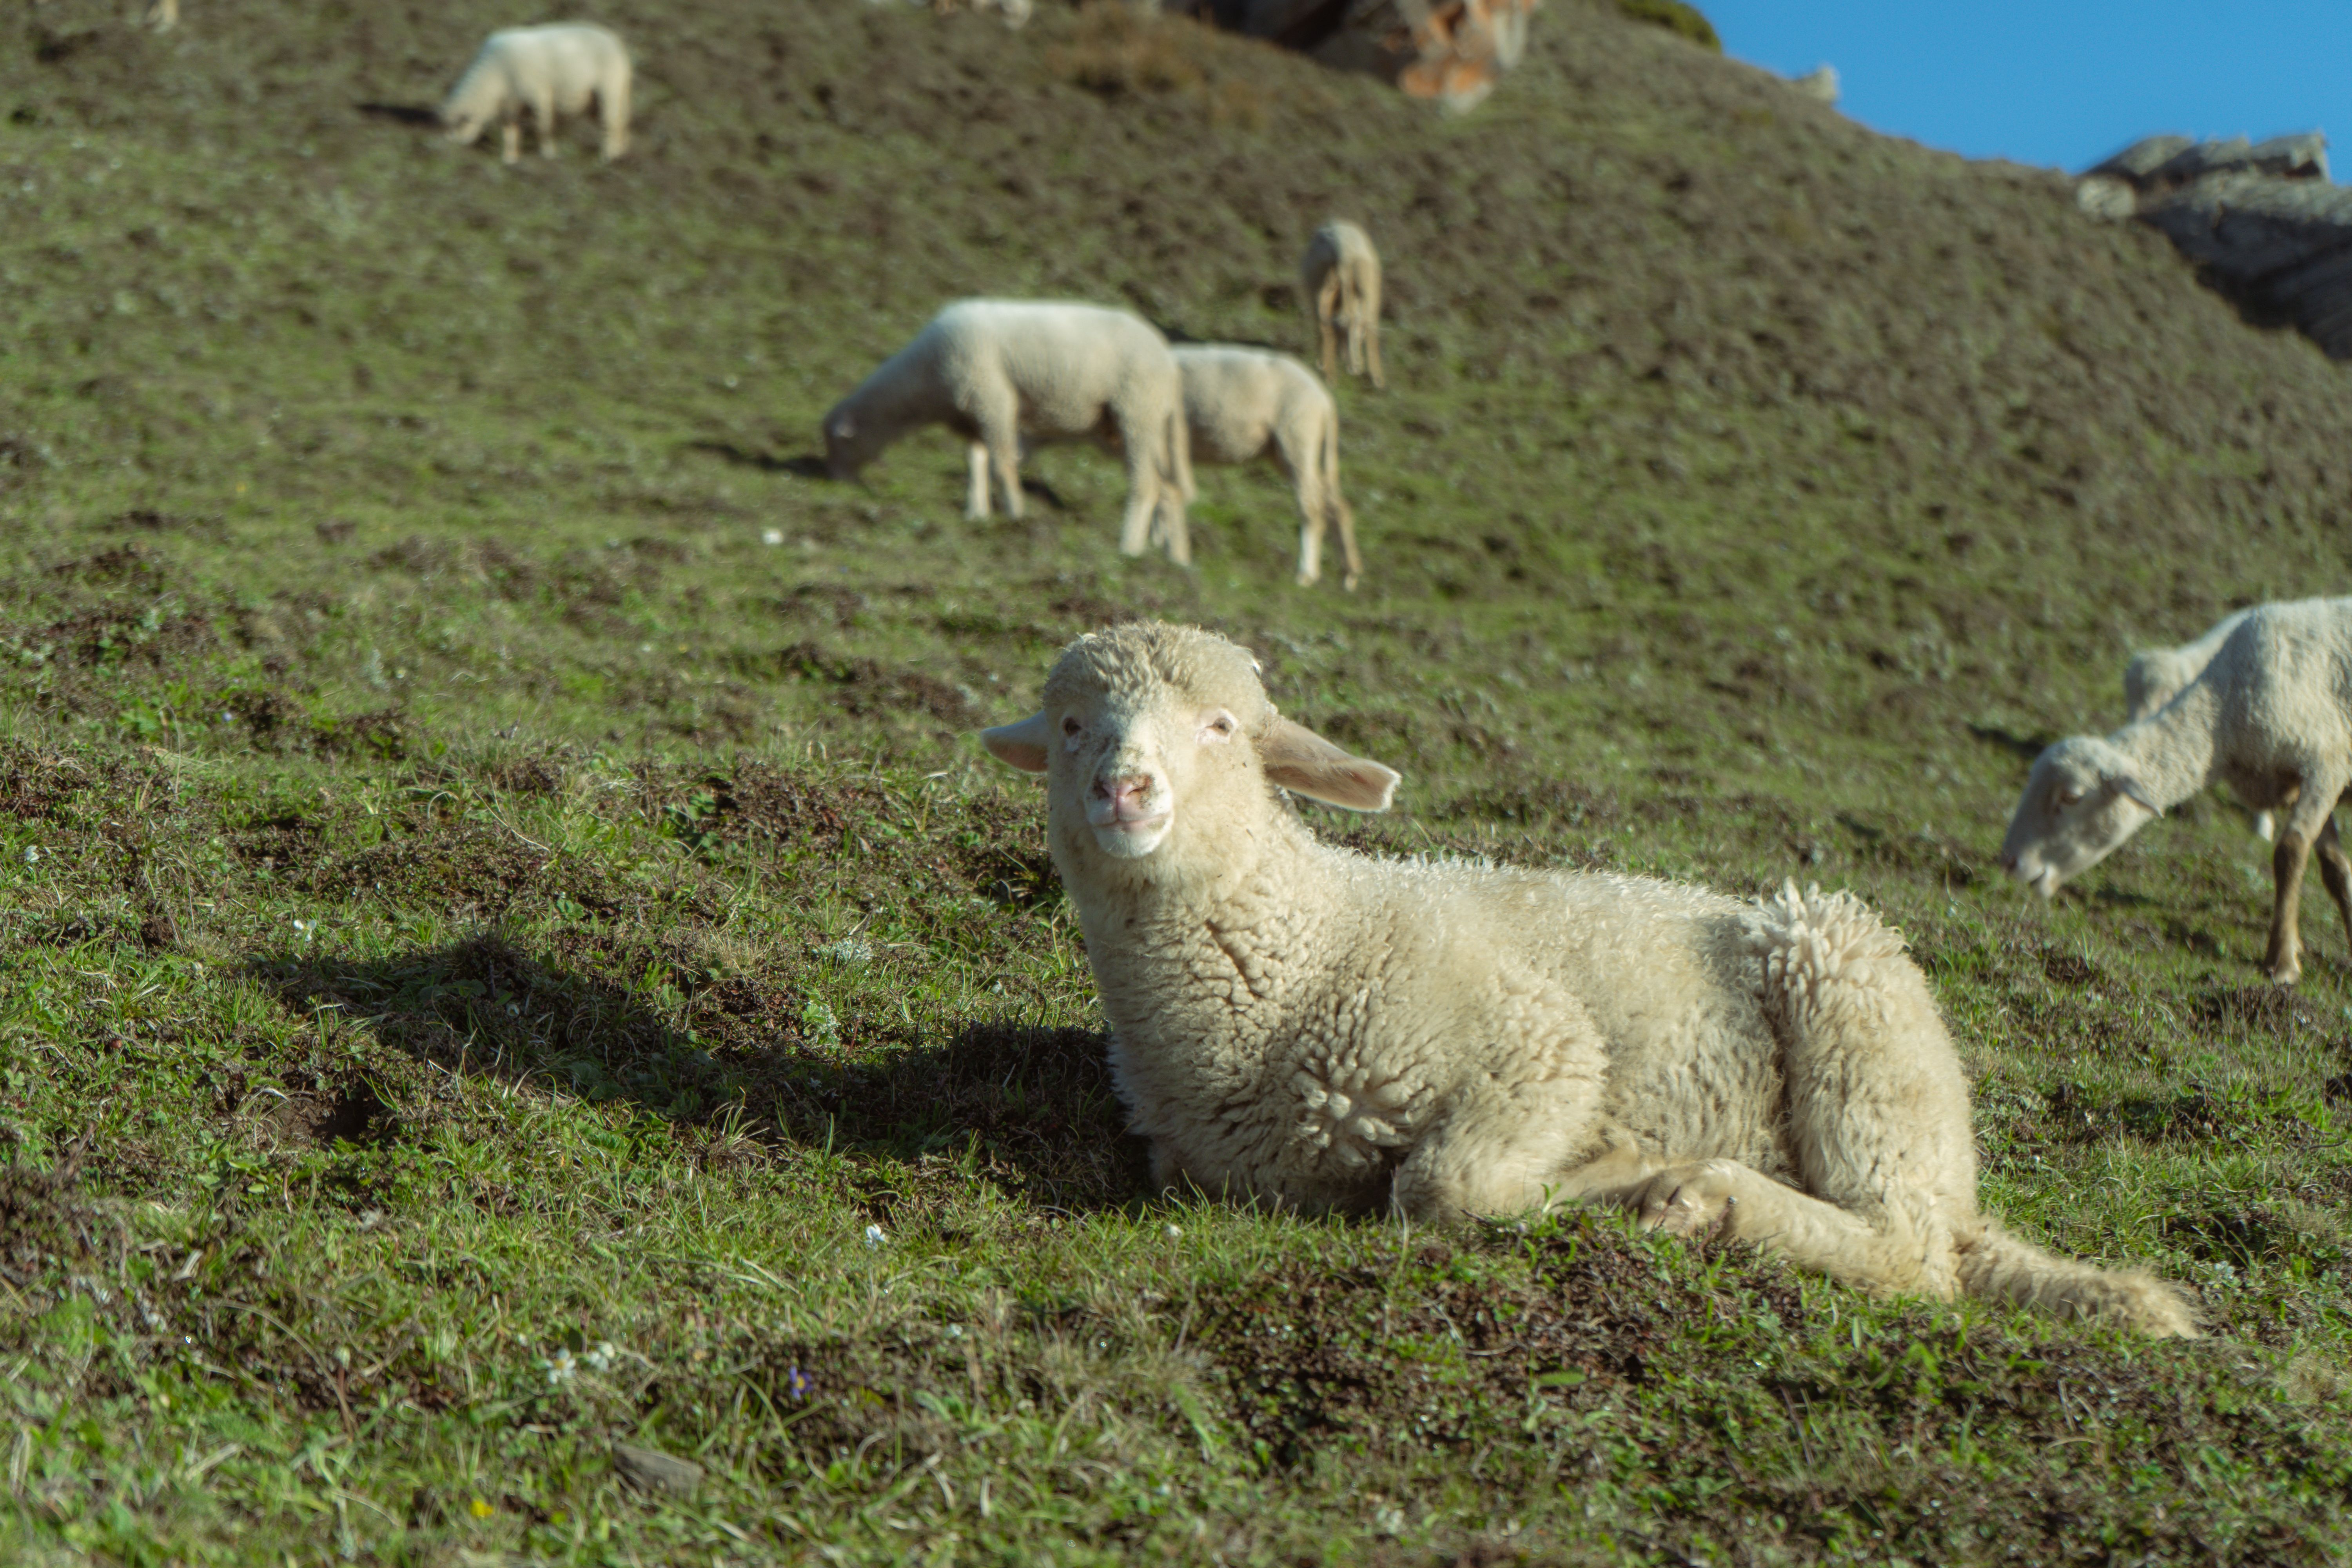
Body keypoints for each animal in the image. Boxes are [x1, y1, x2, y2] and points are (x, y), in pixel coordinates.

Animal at [441, 23, 632, 166]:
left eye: (456, 127)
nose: (453, 152)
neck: (493, 78)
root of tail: (617, 44)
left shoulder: (538, 96)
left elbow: (543, 127)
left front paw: (548, 154)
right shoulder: (510, 106)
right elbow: (510, 133)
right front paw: (510, 159)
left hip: (609, 89)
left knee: (611, 123)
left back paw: (607, 157)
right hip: (601, 101)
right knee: (618, 123)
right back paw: (619, 153)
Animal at [824, 300, 1194, 565]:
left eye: (839, 444)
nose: (835, 481)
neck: (925, 379)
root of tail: (1169, 364)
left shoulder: (993, 398)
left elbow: (1001, 463)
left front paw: (1016, 515)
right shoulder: (975, 412)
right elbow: (976, 463)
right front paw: (977, 513)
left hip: (1137, 410)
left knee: (1147, 483)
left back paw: (1129, 547)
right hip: (1127, 425)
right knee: (1169, 488)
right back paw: (1175, 558)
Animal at [979, 621, 2196, 1336]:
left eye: (1224, 726)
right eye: (1072, 724)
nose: (1126, 790)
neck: (1306, 937)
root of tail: (1966, 1191)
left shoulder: (1540, 1044)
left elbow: (1446, 1188)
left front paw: (1622, 1180)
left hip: (1856, 1007)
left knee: (1911, 1255)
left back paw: (1715, 1198)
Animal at [1171, 346, 1361, 590]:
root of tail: (1325, 401)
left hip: (1297, 438)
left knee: (1313, 510)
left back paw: (1306, 575)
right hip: (1293, 451)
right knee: (1338, 506)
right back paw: (1350, 575)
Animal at [1300, 221, 1386, 389]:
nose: (1355, 369)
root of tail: (1344, 249)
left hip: (1325, 284)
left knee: (1327, 325)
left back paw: (1330, 374)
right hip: (1365, 287)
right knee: (1364, 324)